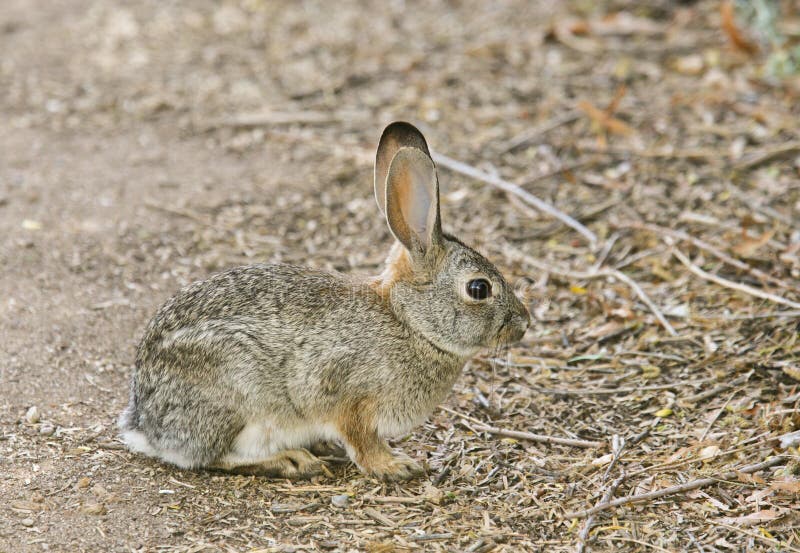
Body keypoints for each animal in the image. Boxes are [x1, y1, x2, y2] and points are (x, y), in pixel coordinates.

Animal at [119, 121, 531, 481]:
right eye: (478, 289)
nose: (524, 323)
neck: (409, 322)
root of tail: (145, 422)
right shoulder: (351, 400)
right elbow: (363, 441)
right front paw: (394, 466)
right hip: (236, 399)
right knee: (214, 457)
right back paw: (290, 461)